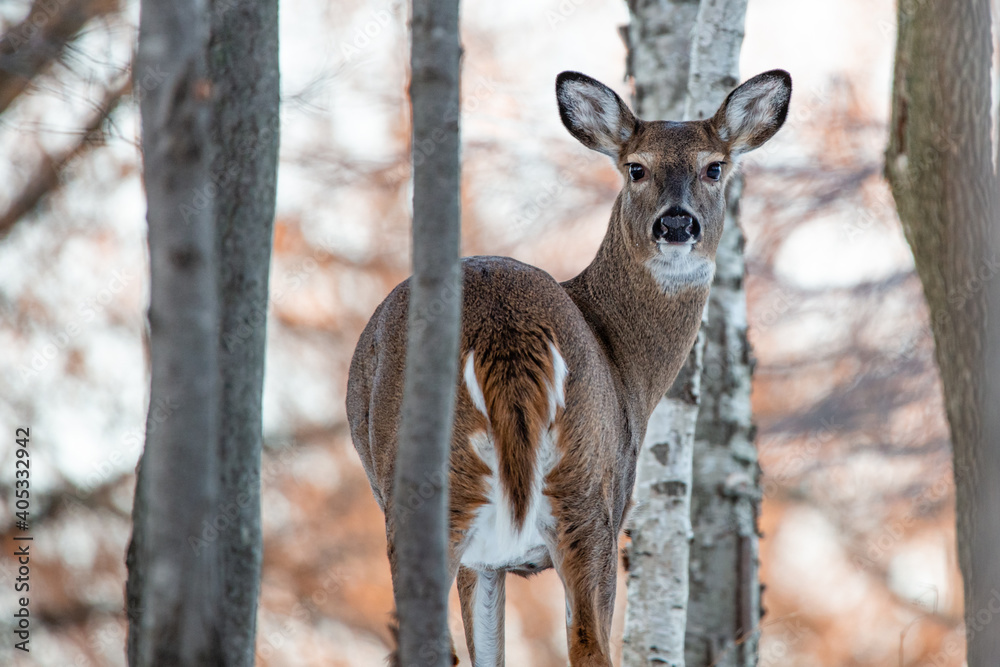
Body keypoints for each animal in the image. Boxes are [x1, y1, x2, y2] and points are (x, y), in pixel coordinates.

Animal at [346, 68, 791, 667]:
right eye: (636, 167)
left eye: (714, 166)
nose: (677, 223)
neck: (624, 360)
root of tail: (504, 328)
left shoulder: (488, 558)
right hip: (585, 494)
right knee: (588, 645)